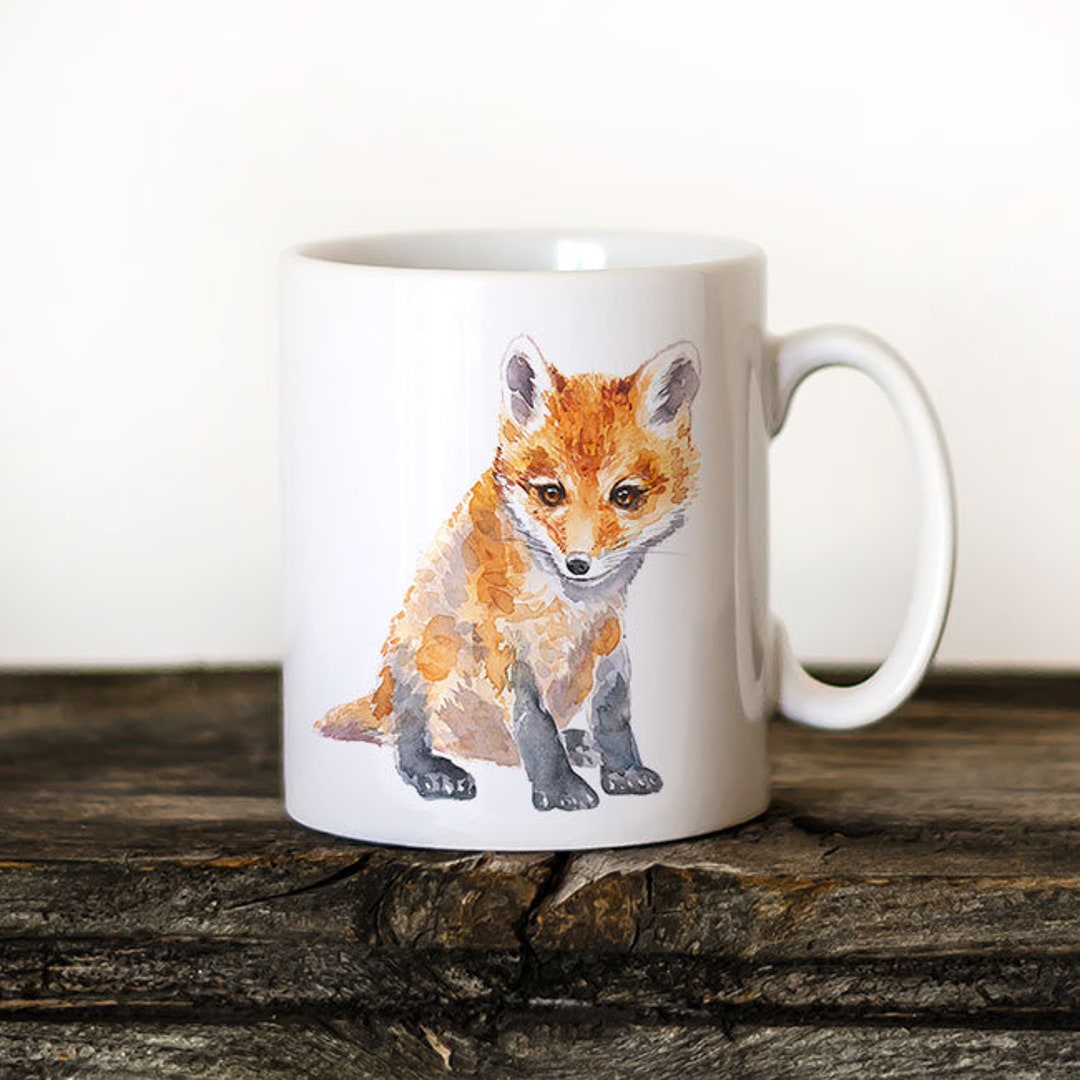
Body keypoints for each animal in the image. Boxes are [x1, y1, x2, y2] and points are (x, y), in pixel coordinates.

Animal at [316, 334, 700, 812]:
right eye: (551, 493)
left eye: (625, 496)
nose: (578, 564)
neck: (568, 606)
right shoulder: (500, 640)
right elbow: (535, 725)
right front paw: (559, 788)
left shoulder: (610, 633)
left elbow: (613, 712)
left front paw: (623, 769)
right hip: (425, 650)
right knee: (408, 739)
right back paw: (433, 770)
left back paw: (579, 744)